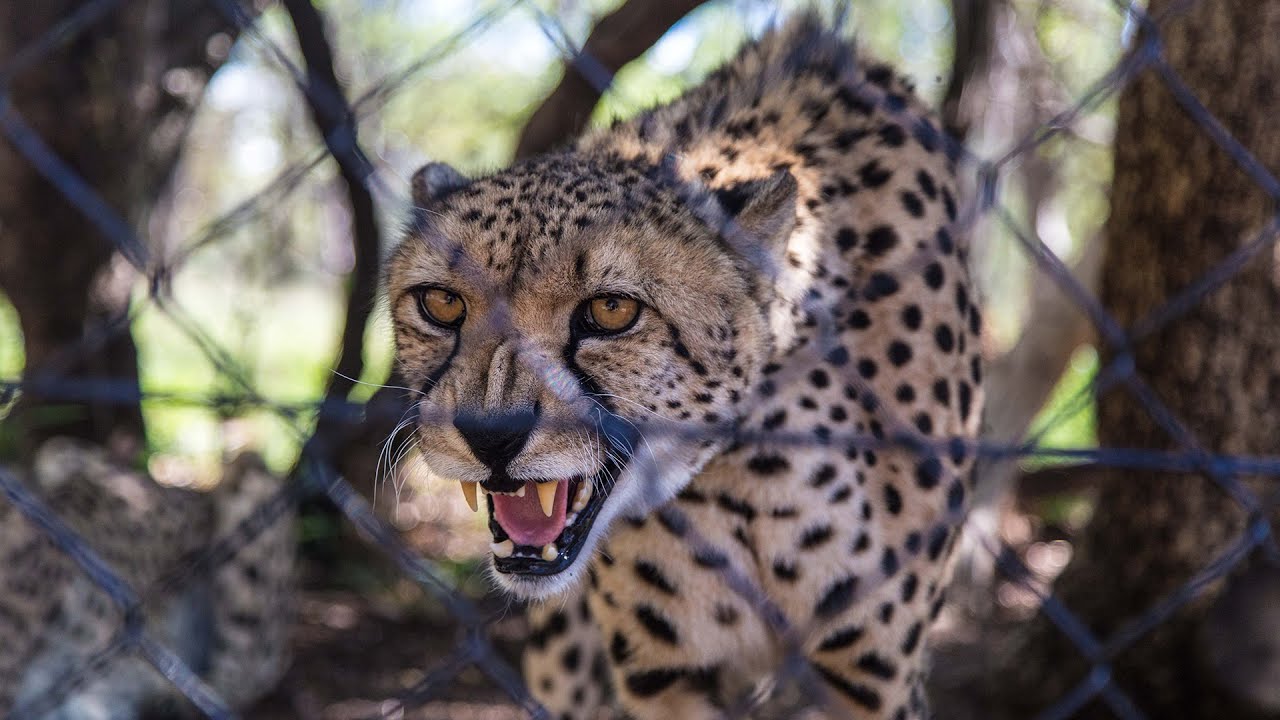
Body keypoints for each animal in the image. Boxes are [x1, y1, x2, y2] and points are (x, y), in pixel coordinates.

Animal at [386, 12, 983, 719]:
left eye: (612, 310)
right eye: (442, 303)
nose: (490, 434)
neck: (747, 470)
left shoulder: (875, 677)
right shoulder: (668, 677)